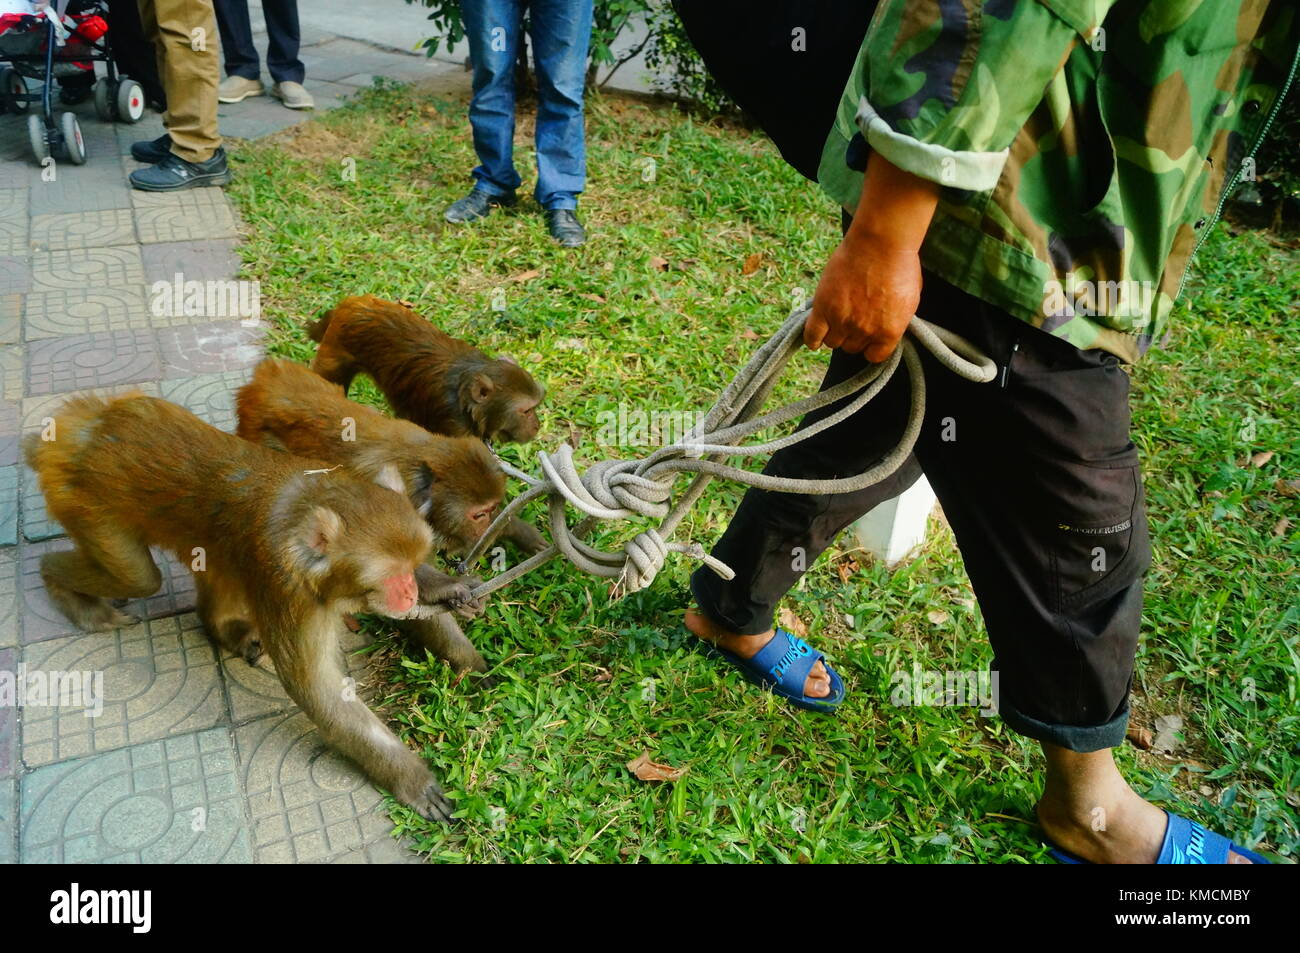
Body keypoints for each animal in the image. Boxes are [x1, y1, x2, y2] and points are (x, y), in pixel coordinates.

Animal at [24, 392, 455, 822]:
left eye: (411, 569)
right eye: (393, 578)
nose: (410, 593)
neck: (302, 514)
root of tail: (85, 428)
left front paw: (447, 592)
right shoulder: (287, 592)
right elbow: (319, 691)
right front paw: (411, 779)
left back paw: (220, 627)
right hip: (86, 500)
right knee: (137, 577)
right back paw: (64, 588)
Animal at [236, 358, 506, 675]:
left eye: (493, 508)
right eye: (480, 514)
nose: (487, 531)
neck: (419, 480)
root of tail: (267, 376)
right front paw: (471, 661)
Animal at [307, 295, 549, 555]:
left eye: (535, 407)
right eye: (526, 410)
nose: (536, 425)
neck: (466, 401)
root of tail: (354, 302)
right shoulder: (453, 425)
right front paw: (520, 532)